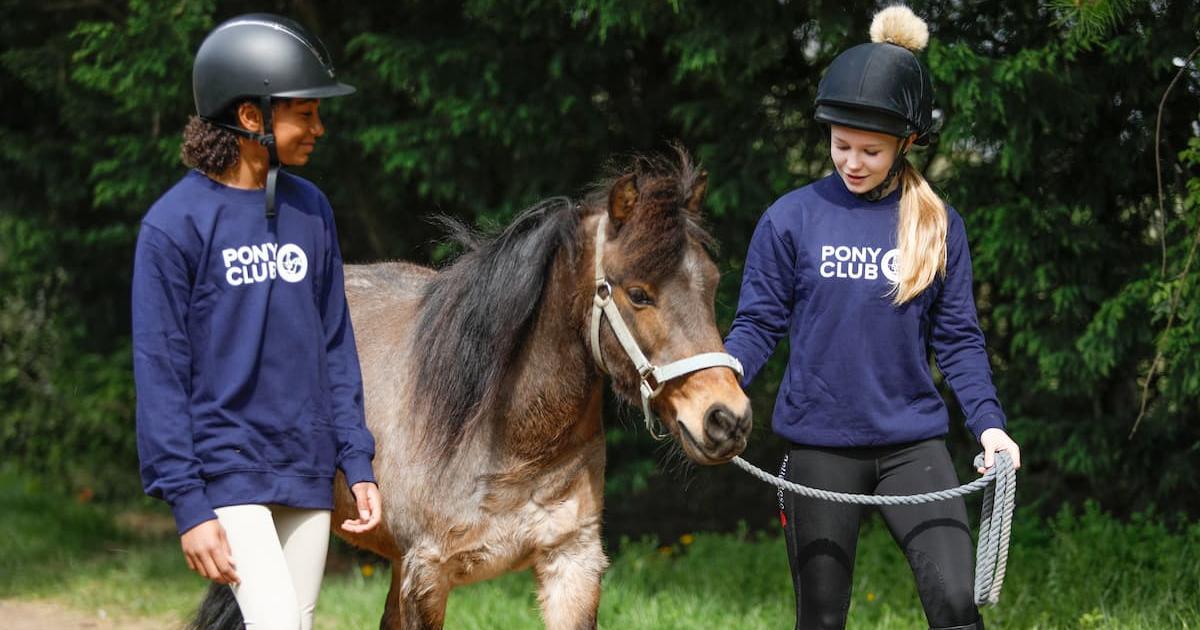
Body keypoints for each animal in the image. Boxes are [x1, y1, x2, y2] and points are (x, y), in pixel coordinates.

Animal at [190, 150, 752, 629]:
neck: (507, 436)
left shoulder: (573, 564)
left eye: (712, 282)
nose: (726, 418)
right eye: (638, 294)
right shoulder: (429, 576)